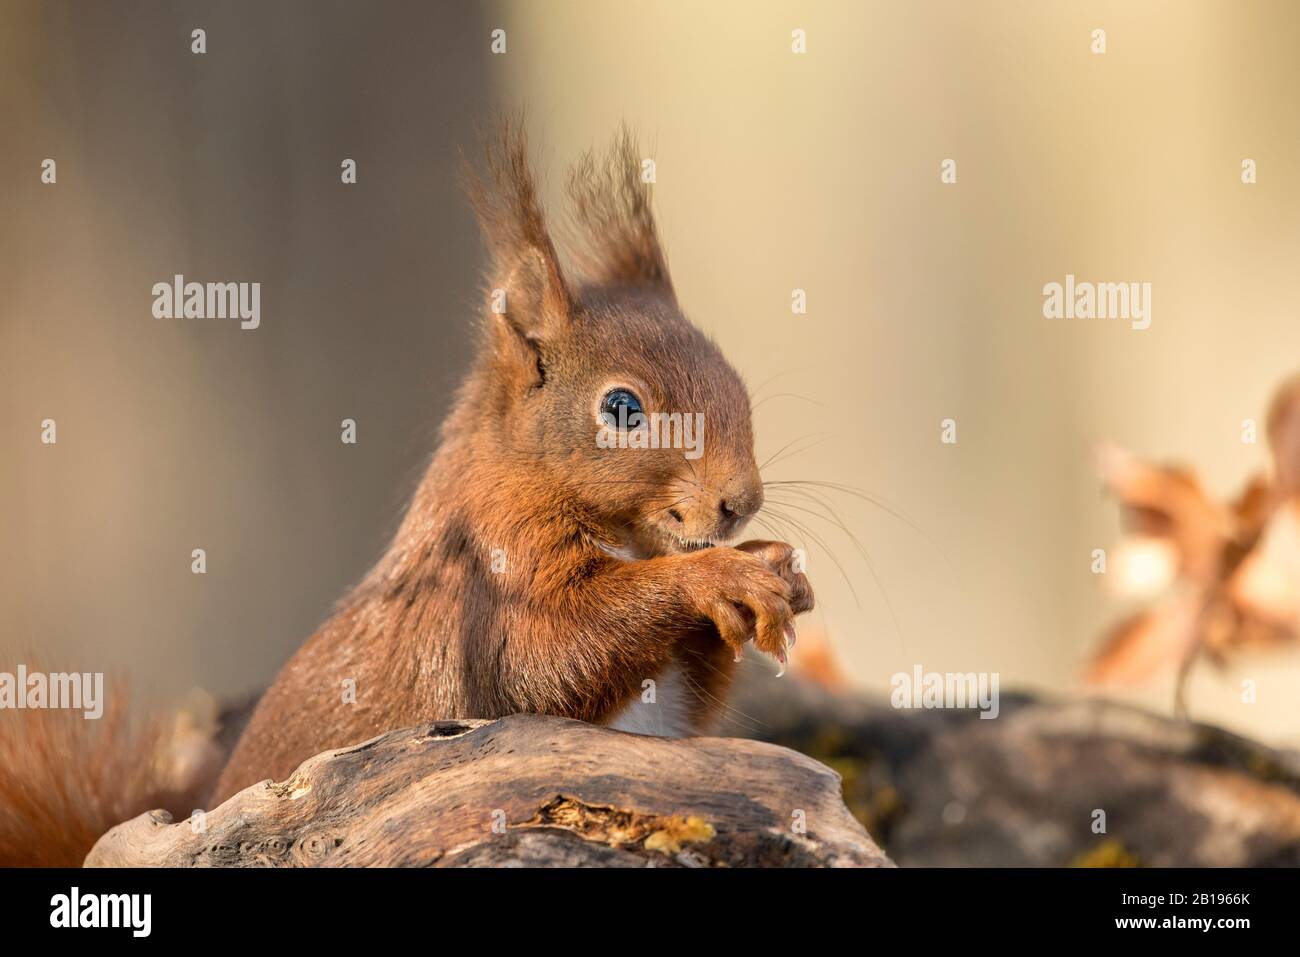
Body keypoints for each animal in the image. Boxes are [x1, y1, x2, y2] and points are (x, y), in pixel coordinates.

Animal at [0, 120, 813, 863]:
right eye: (621, 408)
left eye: (736, 380)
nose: (740, 501)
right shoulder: (493, 573)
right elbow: (555, 653)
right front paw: (718, 574)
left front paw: (777, 566)